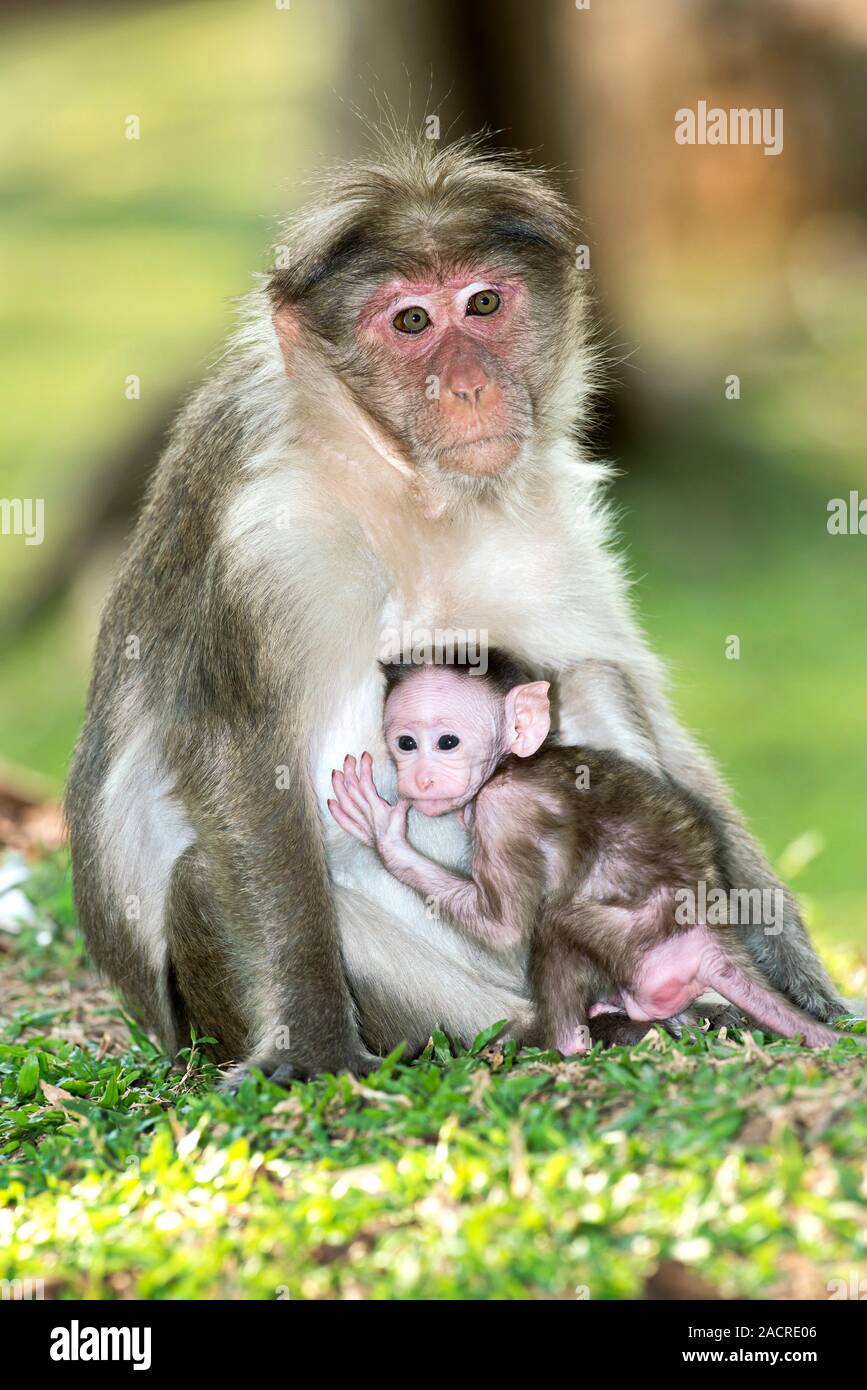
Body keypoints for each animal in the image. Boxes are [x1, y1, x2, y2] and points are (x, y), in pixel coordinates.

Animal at [328, 653, 860, 1054]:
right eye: (406, 743)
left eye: (447, 742)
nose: (419, 778)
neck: (510, 764)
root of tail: (714, 940)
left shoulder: (504, 809)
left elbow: (505, 928)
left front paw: (387, 840)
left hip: (635, 944)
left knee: (555, 924)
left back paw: (568, 1042)